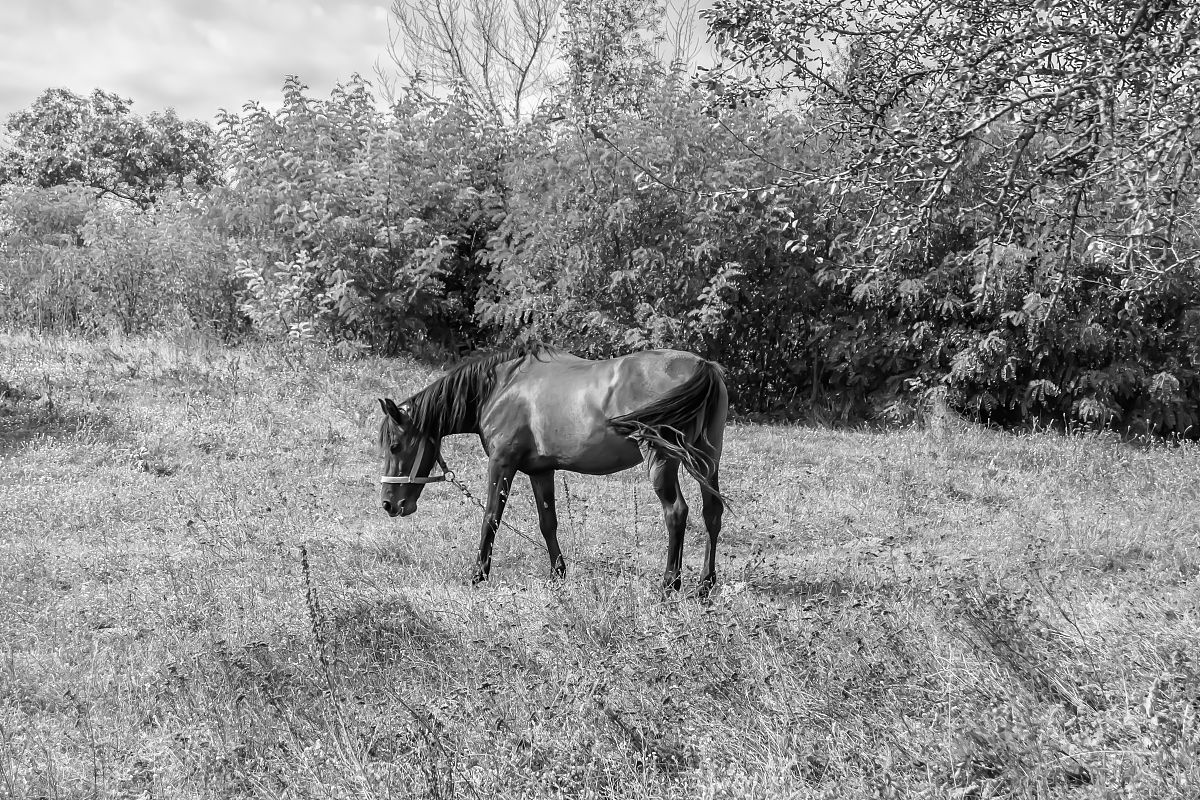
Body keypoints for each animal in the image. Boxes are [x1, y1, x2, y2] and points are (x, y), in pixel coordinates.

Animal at [377, 345, 728, 593]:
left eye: (395, 446)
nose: (389, 504)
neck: (502, 387)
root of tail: (702, 366)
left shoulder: (502, 464)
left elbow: (491, 518)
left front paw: (478, 575)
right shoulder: (540, 472)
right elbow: (548, 523)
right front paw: (557, 574)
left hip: (664, 462)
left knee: (676, 512)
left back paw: (670, 583)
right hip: (708, 459)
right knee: (712, 512)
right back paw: (704, 585)